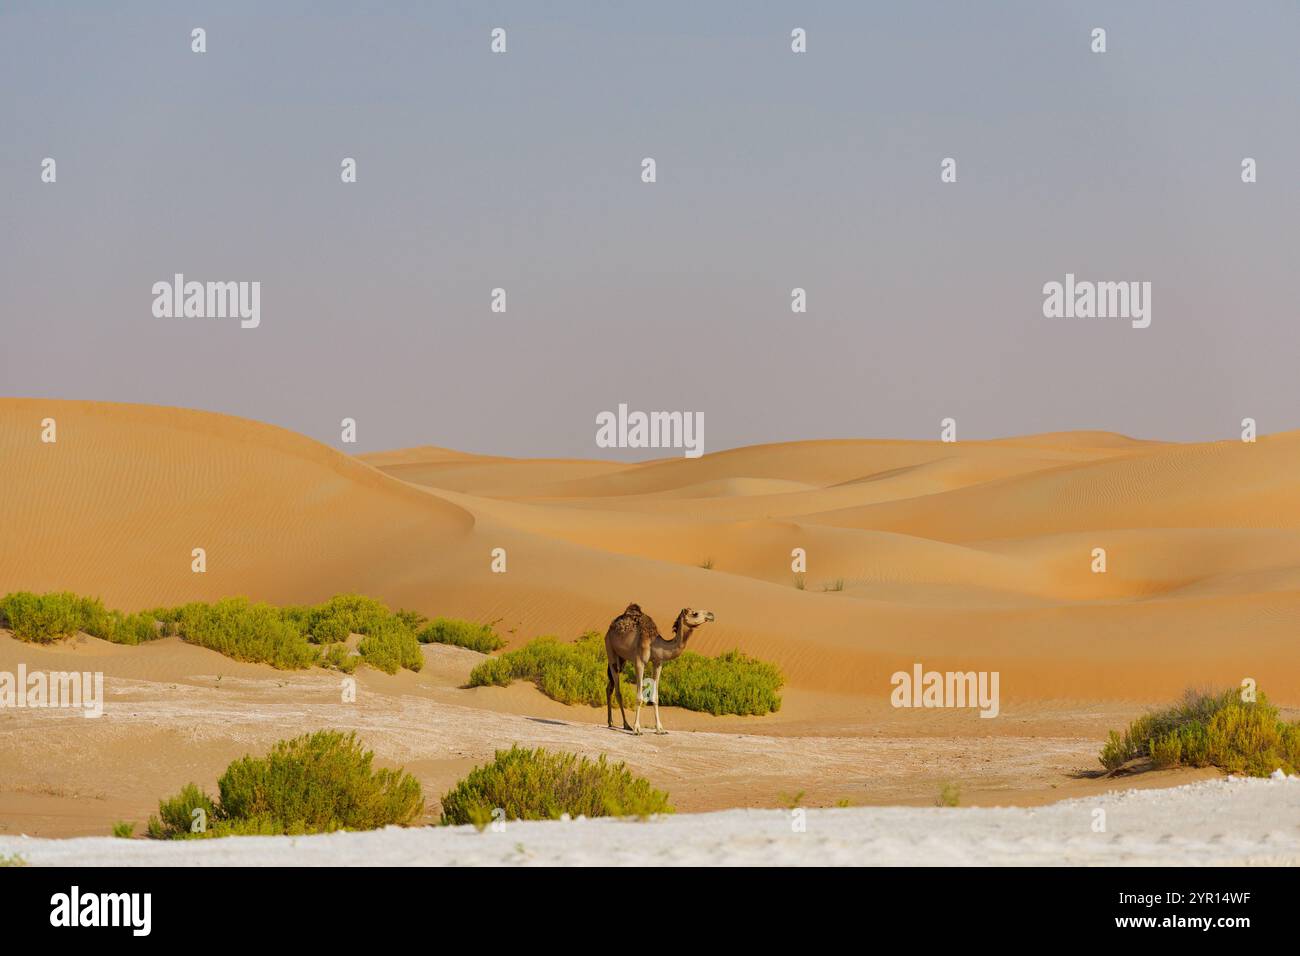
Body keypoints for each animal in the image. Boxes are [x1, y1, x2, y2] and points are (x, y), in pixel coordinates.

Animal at [604, 603, 715, 735]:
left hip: (622, 659)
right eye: (695, 613)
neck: (655, 644)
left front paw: (660, 729)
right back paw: (626, 725)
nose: (711, 615)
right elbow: (639, 697)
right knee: (618, 691)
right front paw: (637, 729)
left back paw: (610, 722)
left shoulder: (658, 663)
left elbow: (655, 696)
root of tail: (610, 628)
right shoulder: (639, 661)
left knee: (609, 687)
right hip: (610, 649)